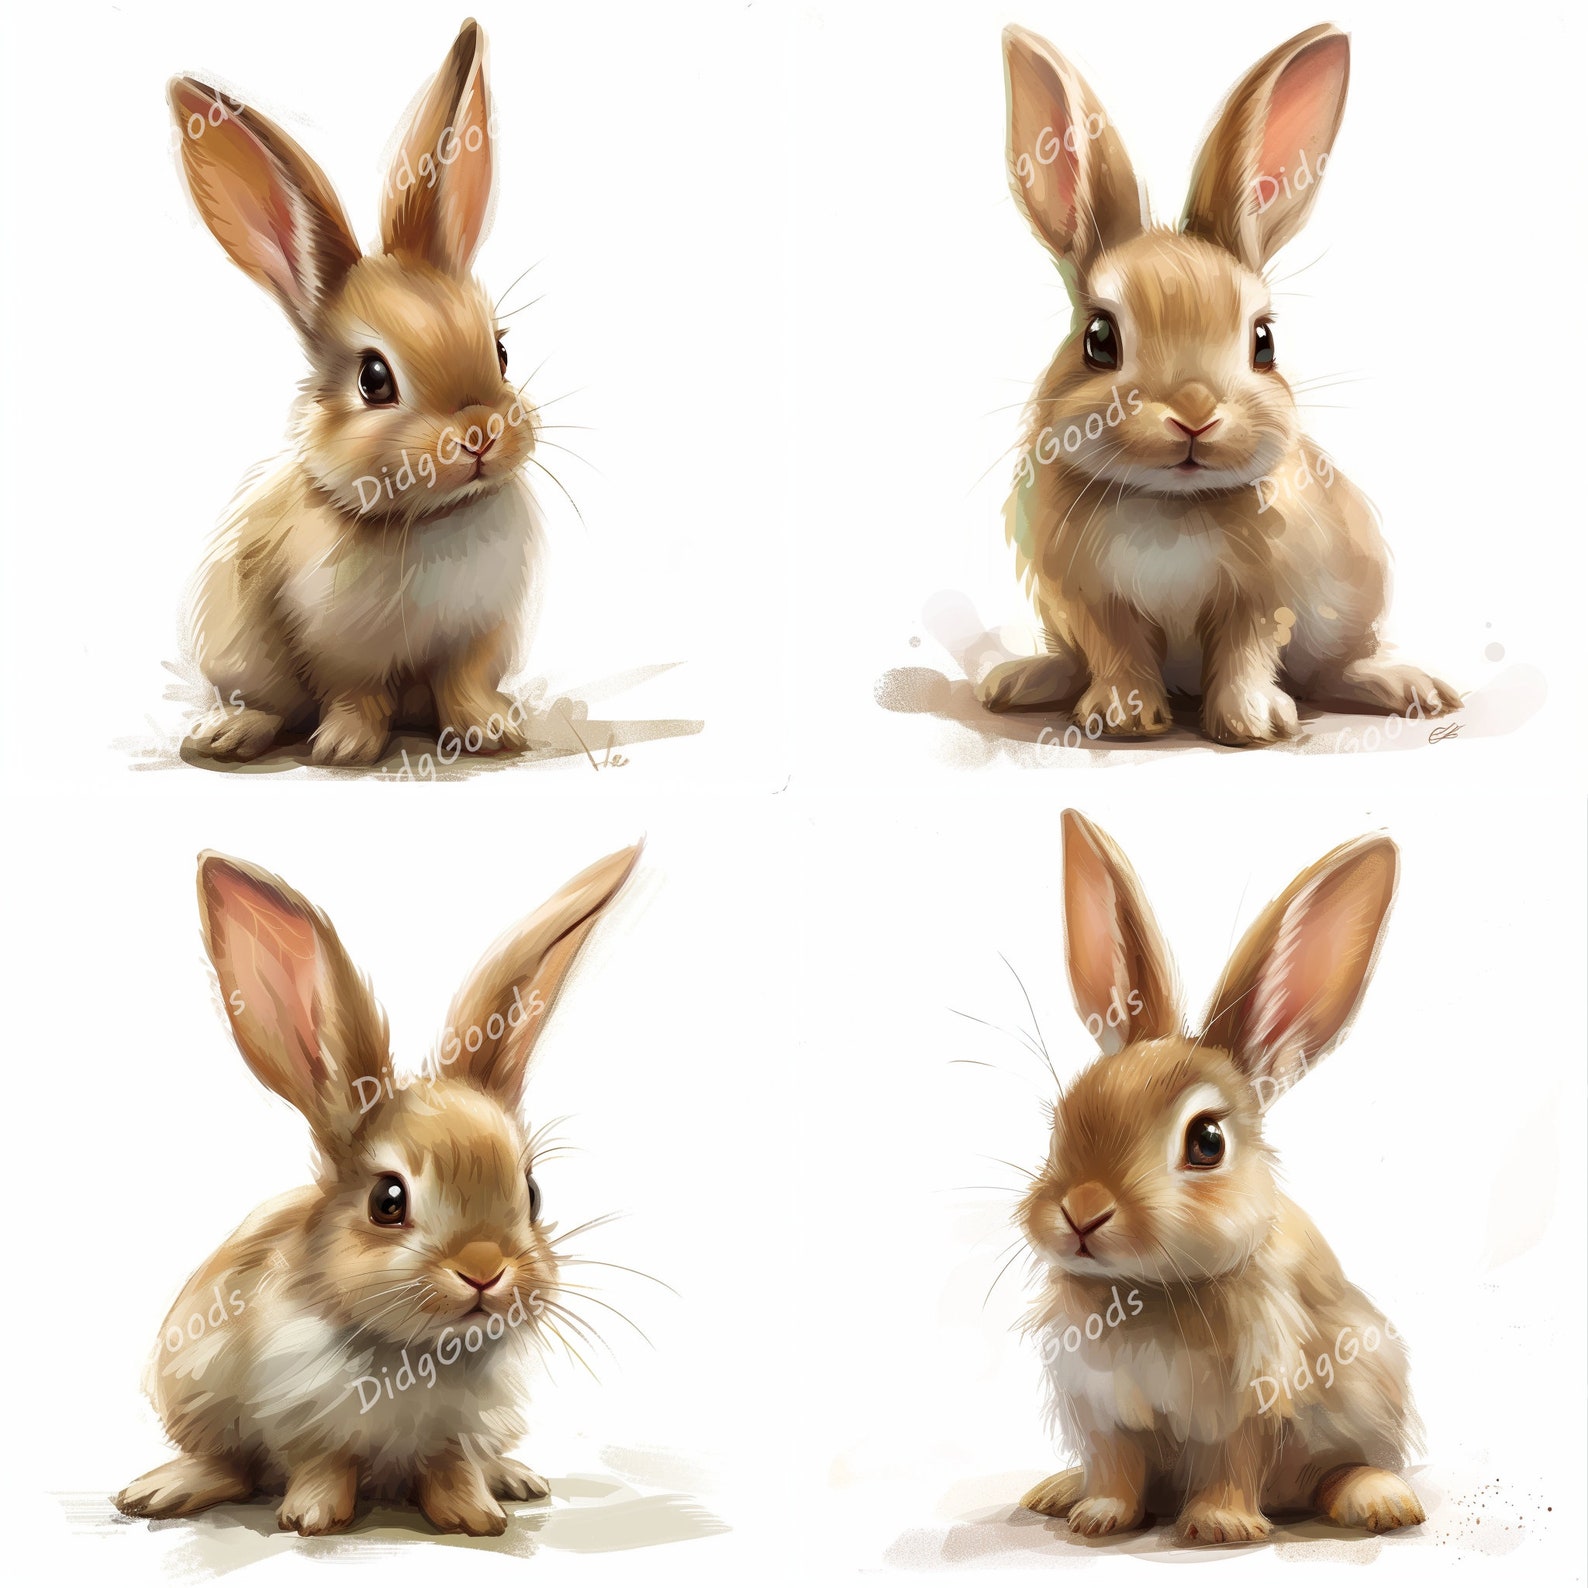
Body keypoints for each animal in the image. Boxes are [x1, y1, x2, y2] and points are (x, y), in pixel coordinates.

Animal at [114, 842, 640, 1535]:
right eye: (387, 1201)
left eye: (532, 1193)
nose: (485, 1269)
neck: (417, 1348)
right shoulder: (305, 1423)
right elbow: (324, 1463)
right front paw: (310, 1516)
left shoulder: (454, 1437)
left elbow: (451, 1468)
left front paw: (477, 1515)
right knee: (227, 1464)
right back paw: (161, 1490)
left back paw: (516, 1478)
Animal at [169, 20, 546, 766]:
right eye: (374, 380)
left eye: (501, 350)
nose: (479, 432)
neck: (431, 518)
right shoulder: (339, 649)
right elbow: (355, 693)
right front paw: (344, 747)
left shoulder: (476, 638)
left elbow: (462, 685)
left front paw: (491, 732)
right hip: (238, 653)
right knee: (263, 703)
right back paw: (228, 735)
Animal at [978, 24, 1461, 746]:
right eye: (1099, 338)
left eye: (1264, 342)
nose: (1194, 413)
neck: (1169, 503)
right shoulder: (1088, 602)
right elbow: (1116, 649)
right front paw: (1125, 716)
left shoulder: (1266, 597)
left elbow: (1245, 650)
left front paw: (1252, 721)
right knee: (1070, 659)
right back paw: (1017, 681)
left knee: (1336, 669)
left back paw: (1409, 688)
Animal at [1014, 810, 1425, 1544]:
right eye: (1061, 1118)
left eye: (1207, 1142)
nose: (1083, 1209)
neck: (1143, 1290)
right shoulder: (1102, 1410)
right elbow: (1116, 1467)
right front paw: (1098, 1516)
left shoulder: (1249, 1406)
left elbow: (1231, 1464)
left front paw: (1218, 1527)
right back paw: (1059, 1492)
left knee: (1340, 1471)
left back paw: (1381, 1501)